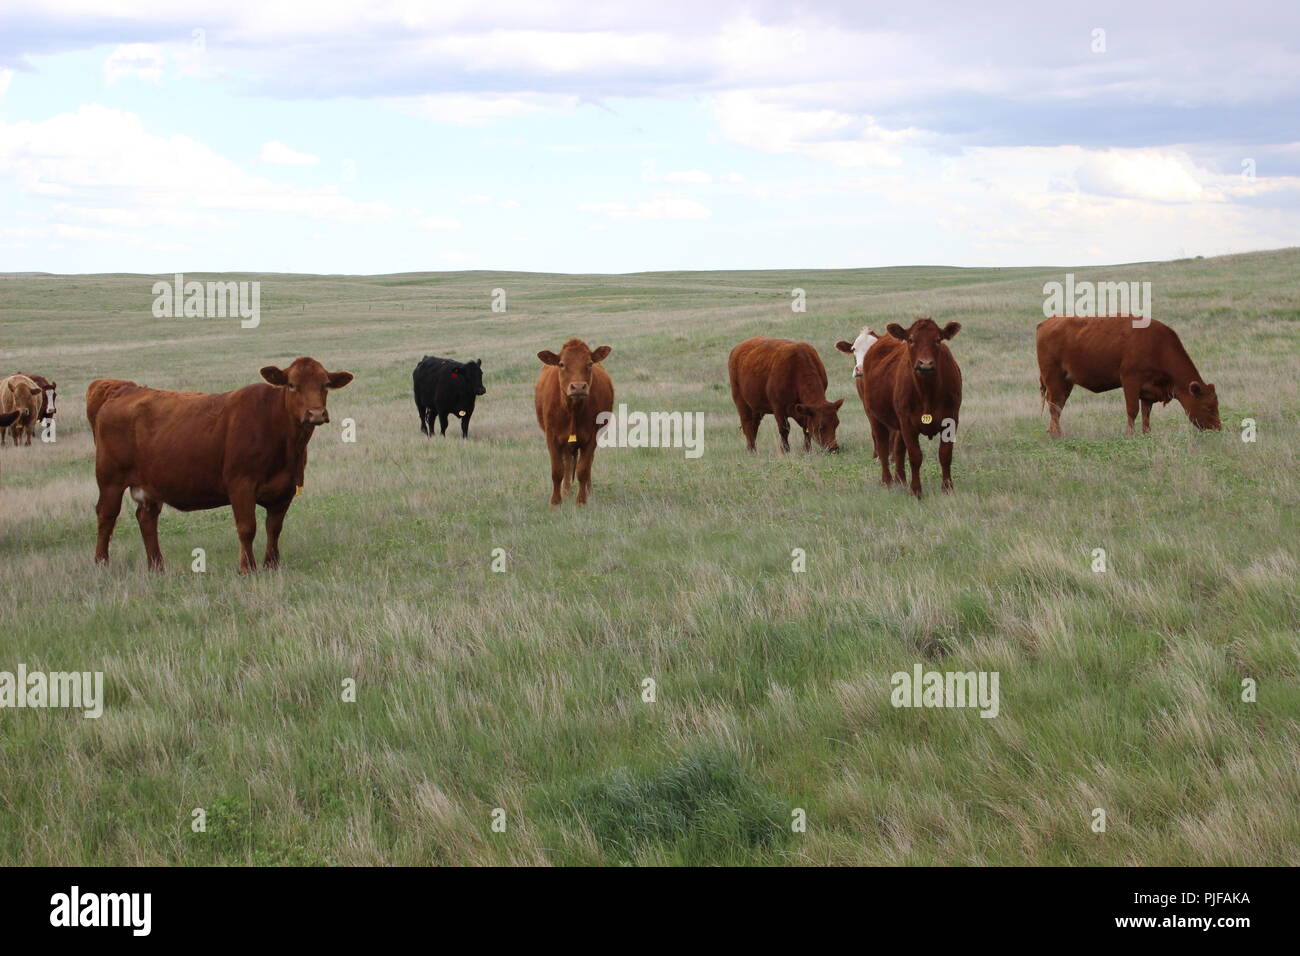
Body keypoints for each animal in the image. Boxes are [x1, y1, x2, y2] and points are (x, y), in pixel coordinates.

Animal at [87, 357, 353, 573]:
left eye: (325, 384)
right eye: (291, 384)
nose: (315, 414)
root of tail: (124, 388)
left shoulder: (285, 489)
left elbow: (274, 528)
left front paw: (271, 564)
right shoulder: (241, 484)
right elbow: (247, 527)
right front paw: (247, 568)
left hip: (150, 484)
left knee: (146, 518)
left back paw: (157, 566)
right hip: (110, 480)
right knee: (106, 516)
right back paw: (101, 563)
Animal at [534, 338, 613, 506]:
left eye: (589, 363)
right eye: (562, 364)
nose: (578, 387)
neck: (573, 410)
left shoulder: (591, 437)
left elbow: (583, 469)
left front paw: (581, 501)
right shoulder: (552, 437)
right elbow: (557, 470)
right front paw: (555, 501)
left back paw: (587, 491)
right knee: (567, 463)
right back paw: (566, 491)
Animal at [863, 318, 962, 498]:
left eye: (938, 340)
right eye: (911, 340)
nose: (925, 364)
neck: (927, 392)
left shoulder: (951, 419)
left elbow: (945, 454)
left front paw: (947, 488)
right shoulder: (908, 423)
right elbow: (915, 456)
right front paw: (916, 490)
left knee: (898, 449)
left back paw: (901, 480)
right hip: (875, 417)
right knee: (882, 448)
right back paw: (887, 481)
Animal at [1036, 315, 1221, 437]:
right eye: (1208, 406)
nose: (1217, 428)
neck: (1158, 345)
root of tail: (1046, 323)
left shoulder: (1148, 390)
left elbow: (1146, 413)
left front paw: (1146, 433)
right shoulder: (1130, 381)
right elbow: (1133, 410)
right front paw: (1129, 434)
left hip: (1066, 382)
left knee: (1058, 406)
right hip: (1054, 379)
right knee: (1054, 406)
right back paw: (1057, 434)